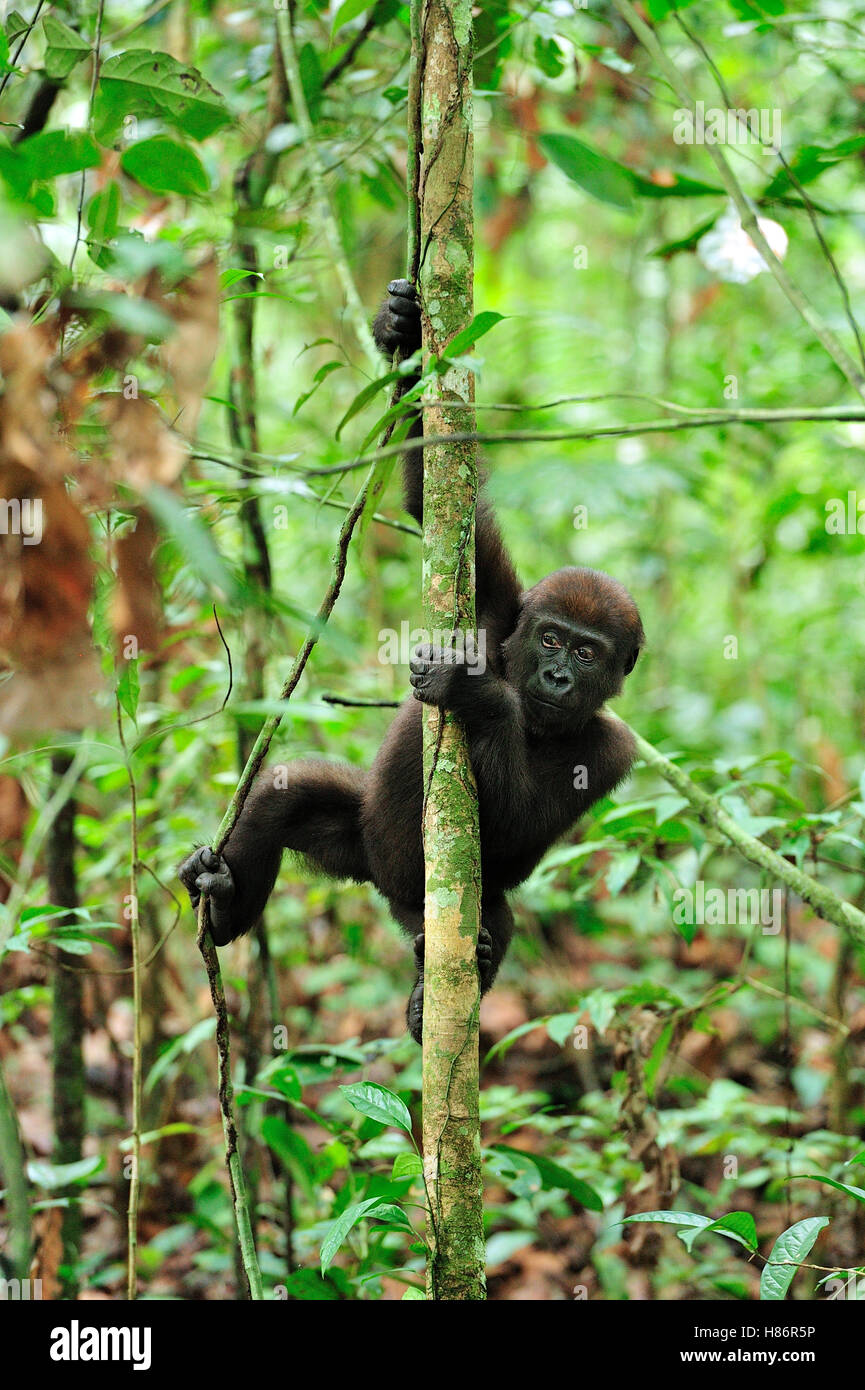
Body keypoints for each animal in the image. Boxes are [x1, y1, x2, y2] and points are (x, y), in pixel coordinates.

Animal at [180, 280, 644, 1042]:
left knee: (490, 922)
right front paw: (399, 333)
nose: (555, 677)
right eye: (550, 639)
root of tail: (394, 899)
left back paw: (442, 987)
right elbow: (431, 492)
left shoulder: (615, 749)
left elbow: (516, 833)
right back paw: (223, 904)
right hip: (363, 848)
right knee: (287, 793)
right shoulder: (495, 601)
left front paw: (478, 695)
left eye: (587, 652)